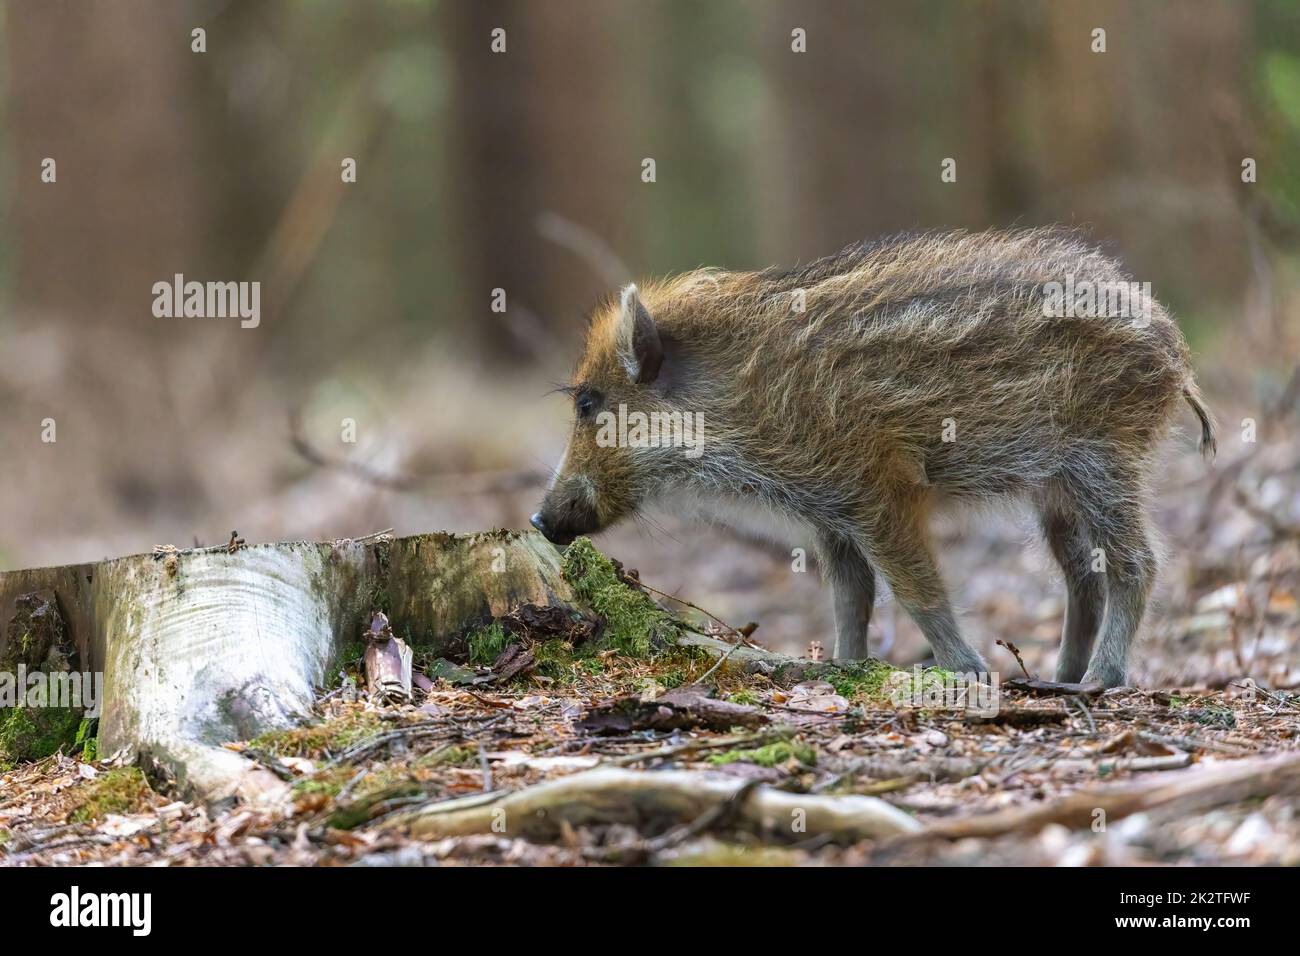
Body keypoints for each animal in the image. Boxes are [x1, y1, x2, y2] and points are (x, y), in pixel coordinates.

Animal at [530, 229, 1215, 687]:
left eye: (589, 403)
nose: (538, 519)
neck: (749, 400)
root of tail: (1174, 346)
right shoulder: (830, 515)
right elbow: (850, 595)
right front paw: (843, 666)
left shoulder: (877, 491)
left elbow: (916, 589)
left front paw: (967, 674)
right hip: (1057, 490)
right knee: (1083, 577)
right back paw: (1058, 678)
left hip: (1104, 460)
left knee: (1138, 563)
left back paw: (1099, 681)